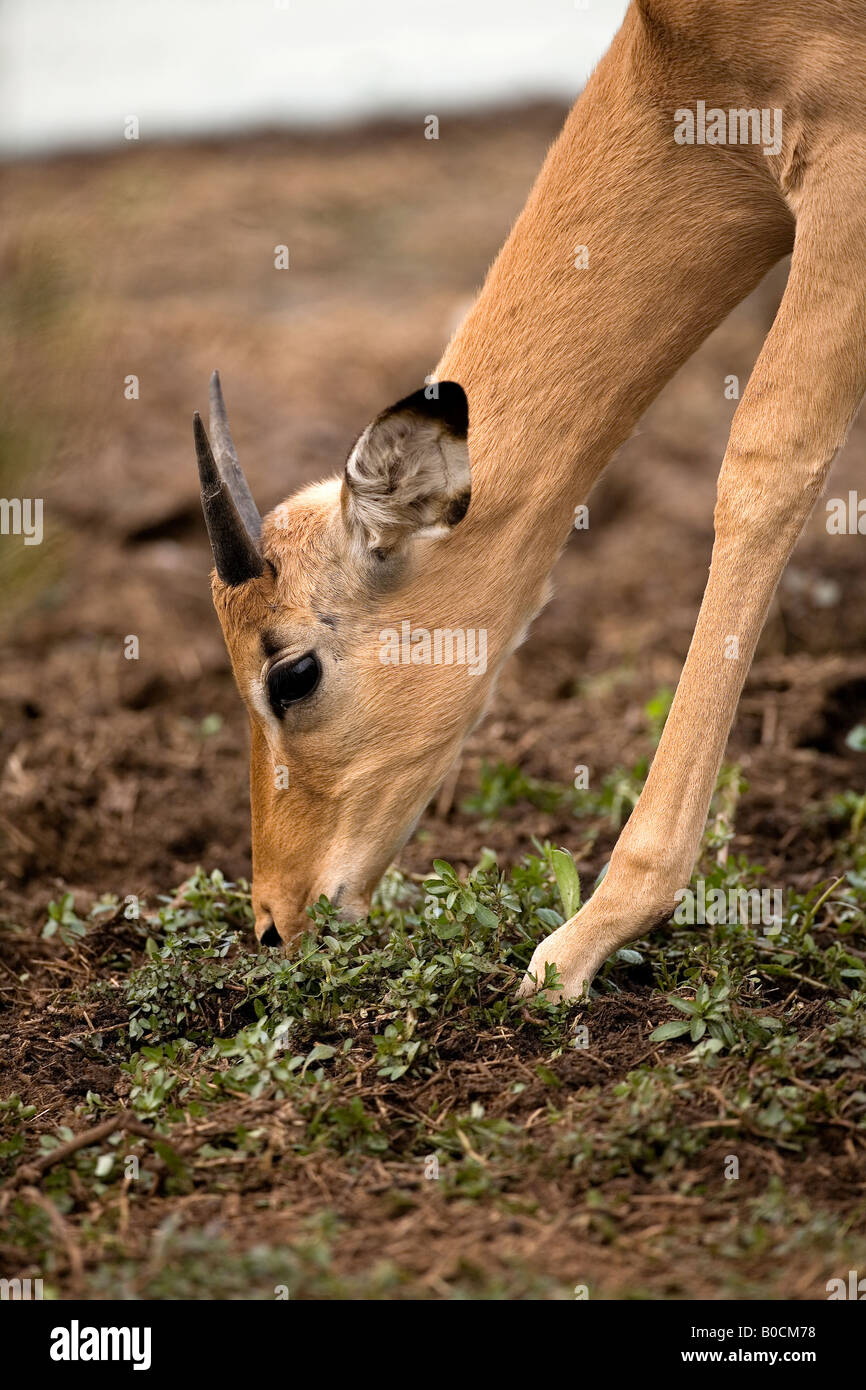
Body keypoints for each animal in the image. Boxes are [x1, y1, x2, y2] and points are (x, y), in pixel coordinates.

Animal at [193, 0, 866, 1000]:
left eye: (293, 674)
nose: (277, 919)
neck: (680, 45)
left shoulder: (844, 168)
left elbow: (764, 459)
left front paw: (581, 939)